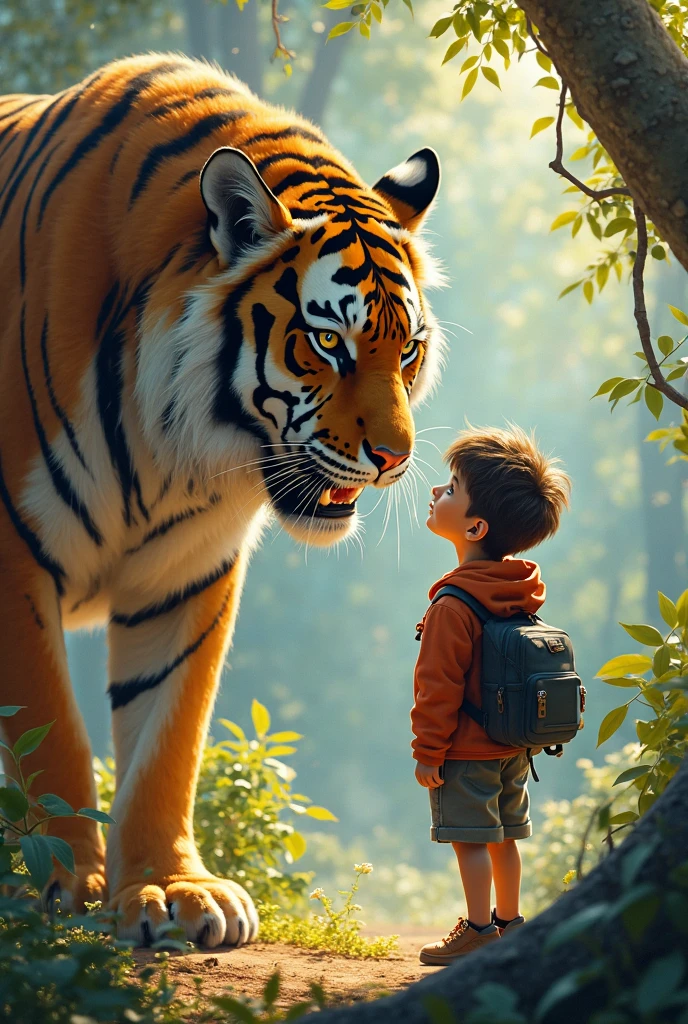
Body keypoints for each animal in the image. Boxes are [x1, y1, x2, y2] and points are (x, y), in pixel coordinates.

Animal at [0, 53, 445, 948]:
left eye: (408, 349)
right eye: (328, 341)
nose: (394, 459)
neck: (174, 447)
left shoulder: (187, 570)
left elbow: (167, 734)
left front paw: (171, 890)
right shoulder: (11, 544)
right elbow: (47, 724)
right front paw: (58, 878)